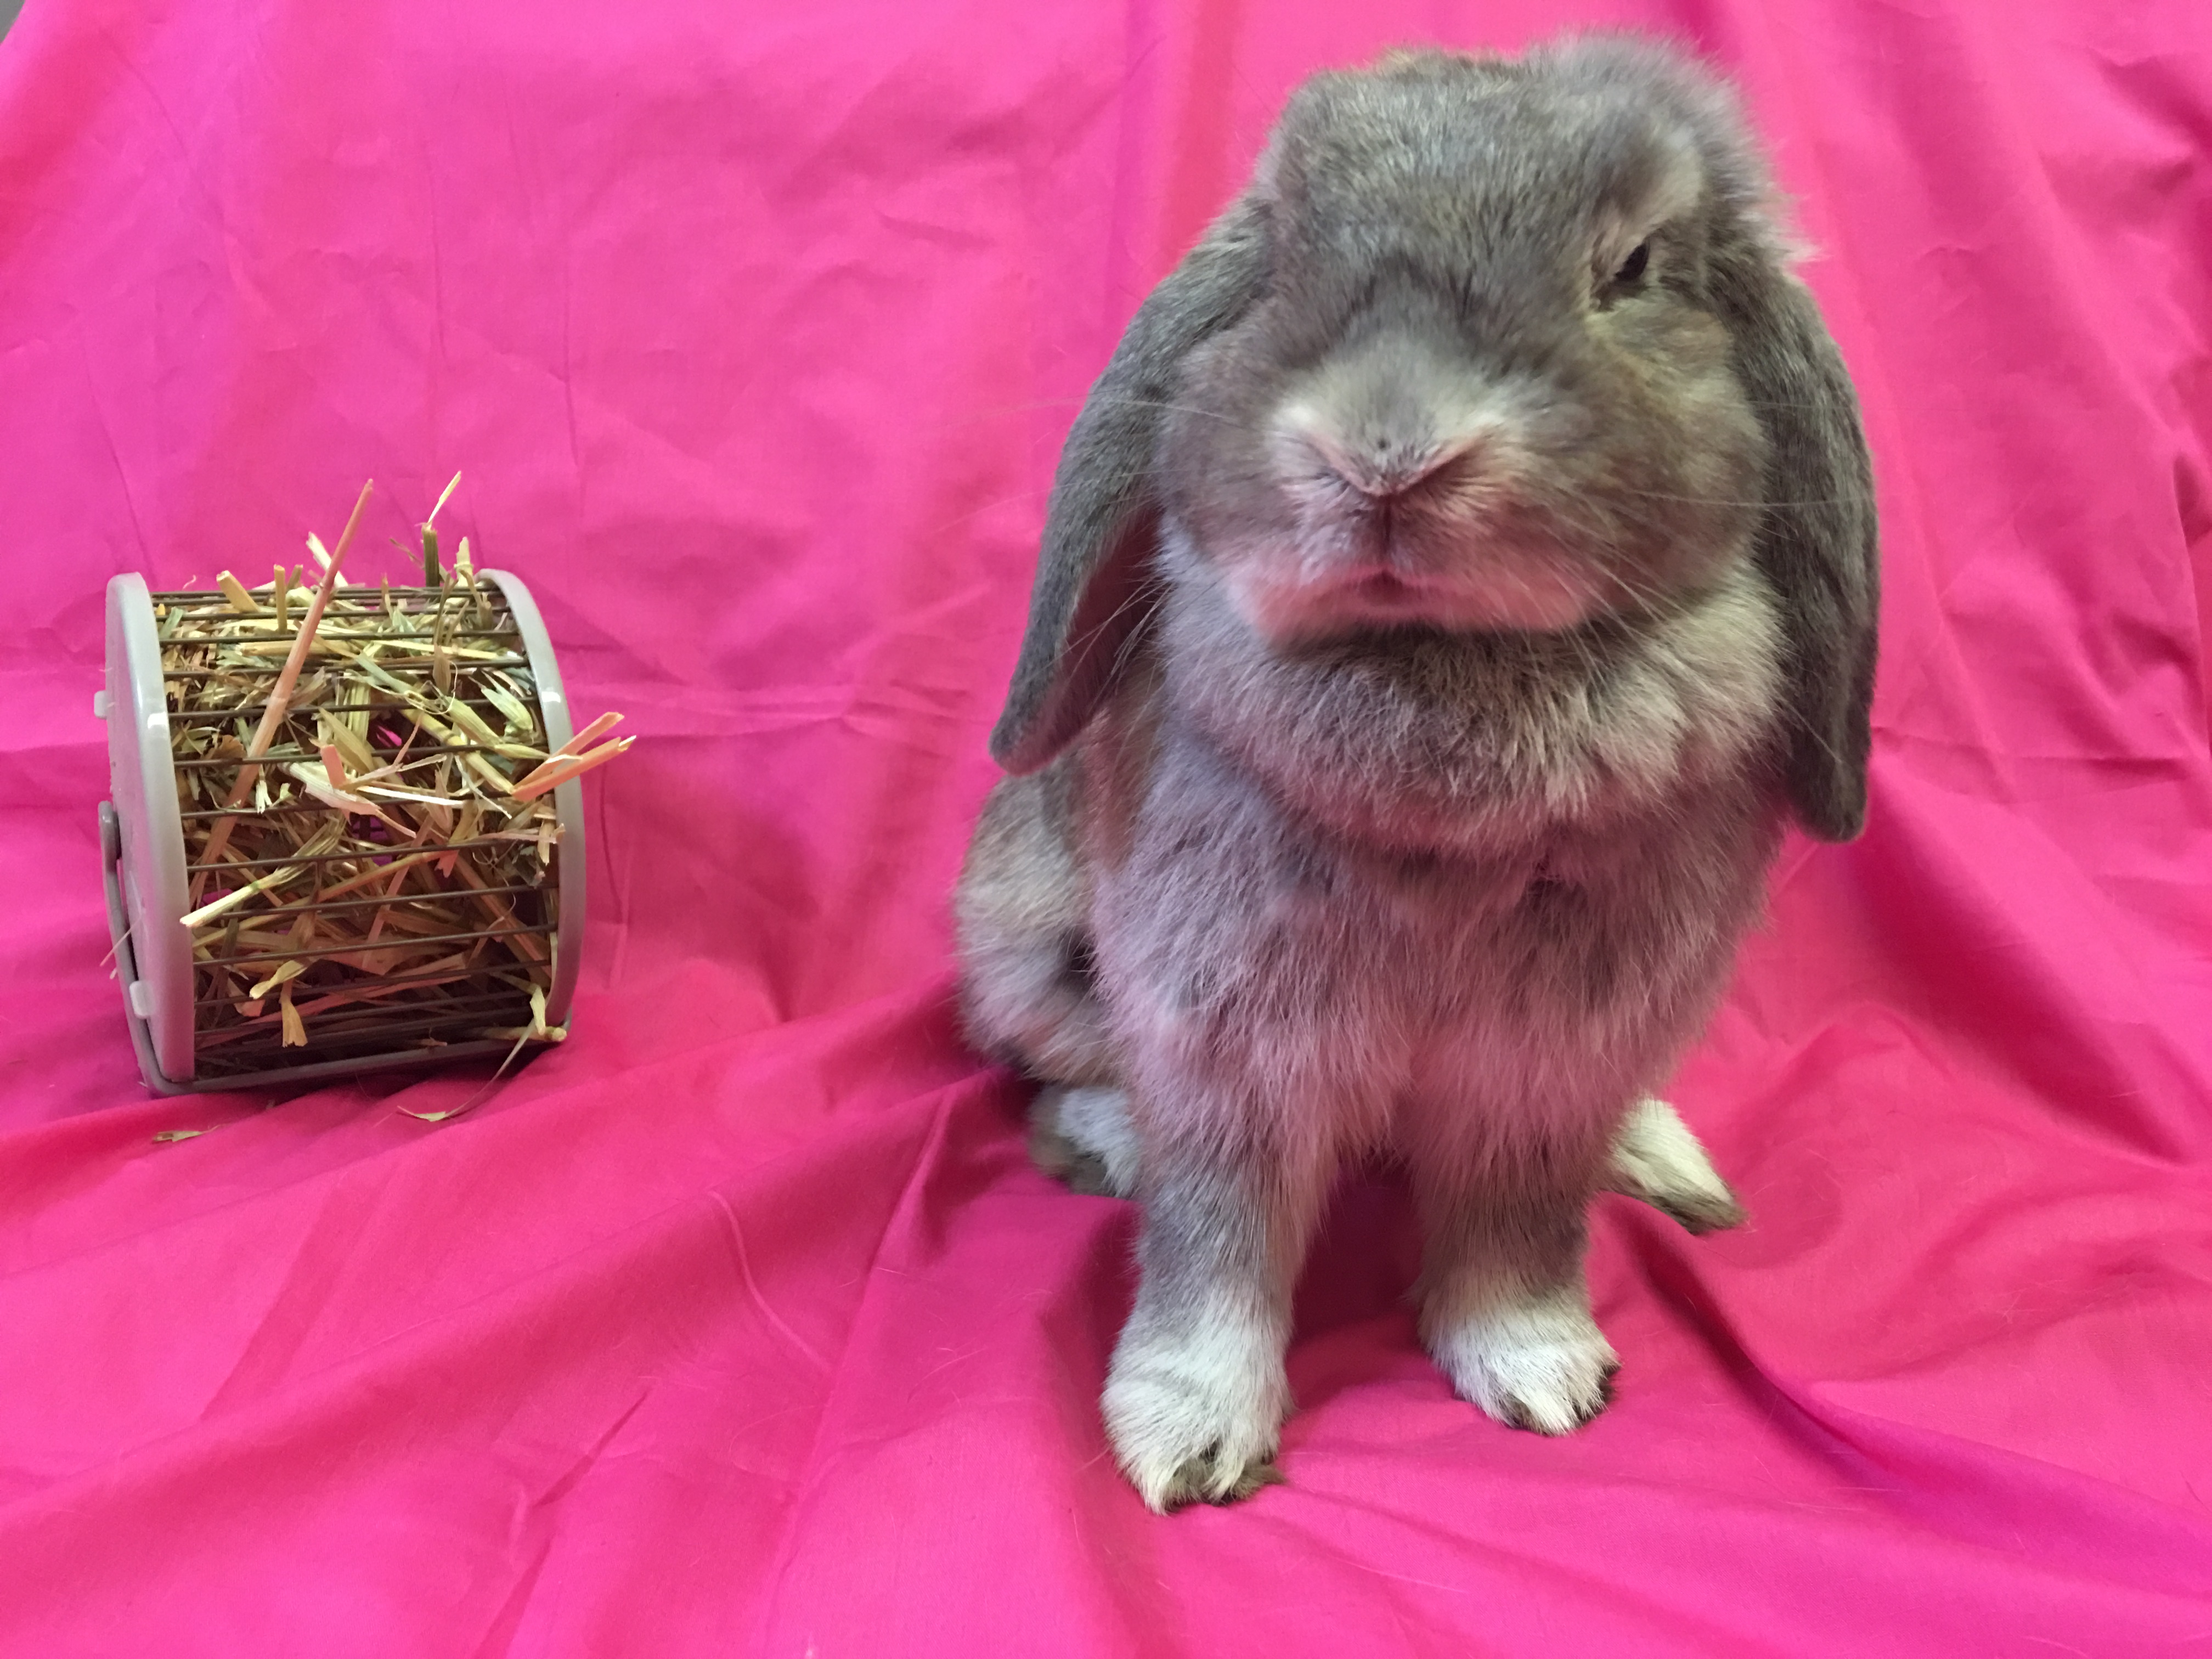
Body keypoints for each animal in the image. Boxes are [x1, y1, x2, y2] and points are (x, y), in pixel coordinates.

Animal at [955, 34, 1877, 1512]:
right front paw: (1188, 1442)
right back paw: (1113, 1141)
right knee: (1060, 1071)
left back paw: (1660, 1159)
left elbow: (1515, 1229)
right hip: (1024, 950)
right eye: (1279, 249)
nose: (1388, 452)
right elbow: (1217, 1242)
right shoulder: (1228, 1040)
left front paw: (1541, 1376)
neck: (1449, 673)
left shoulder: (1549, 1062)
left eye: (1635, 268)